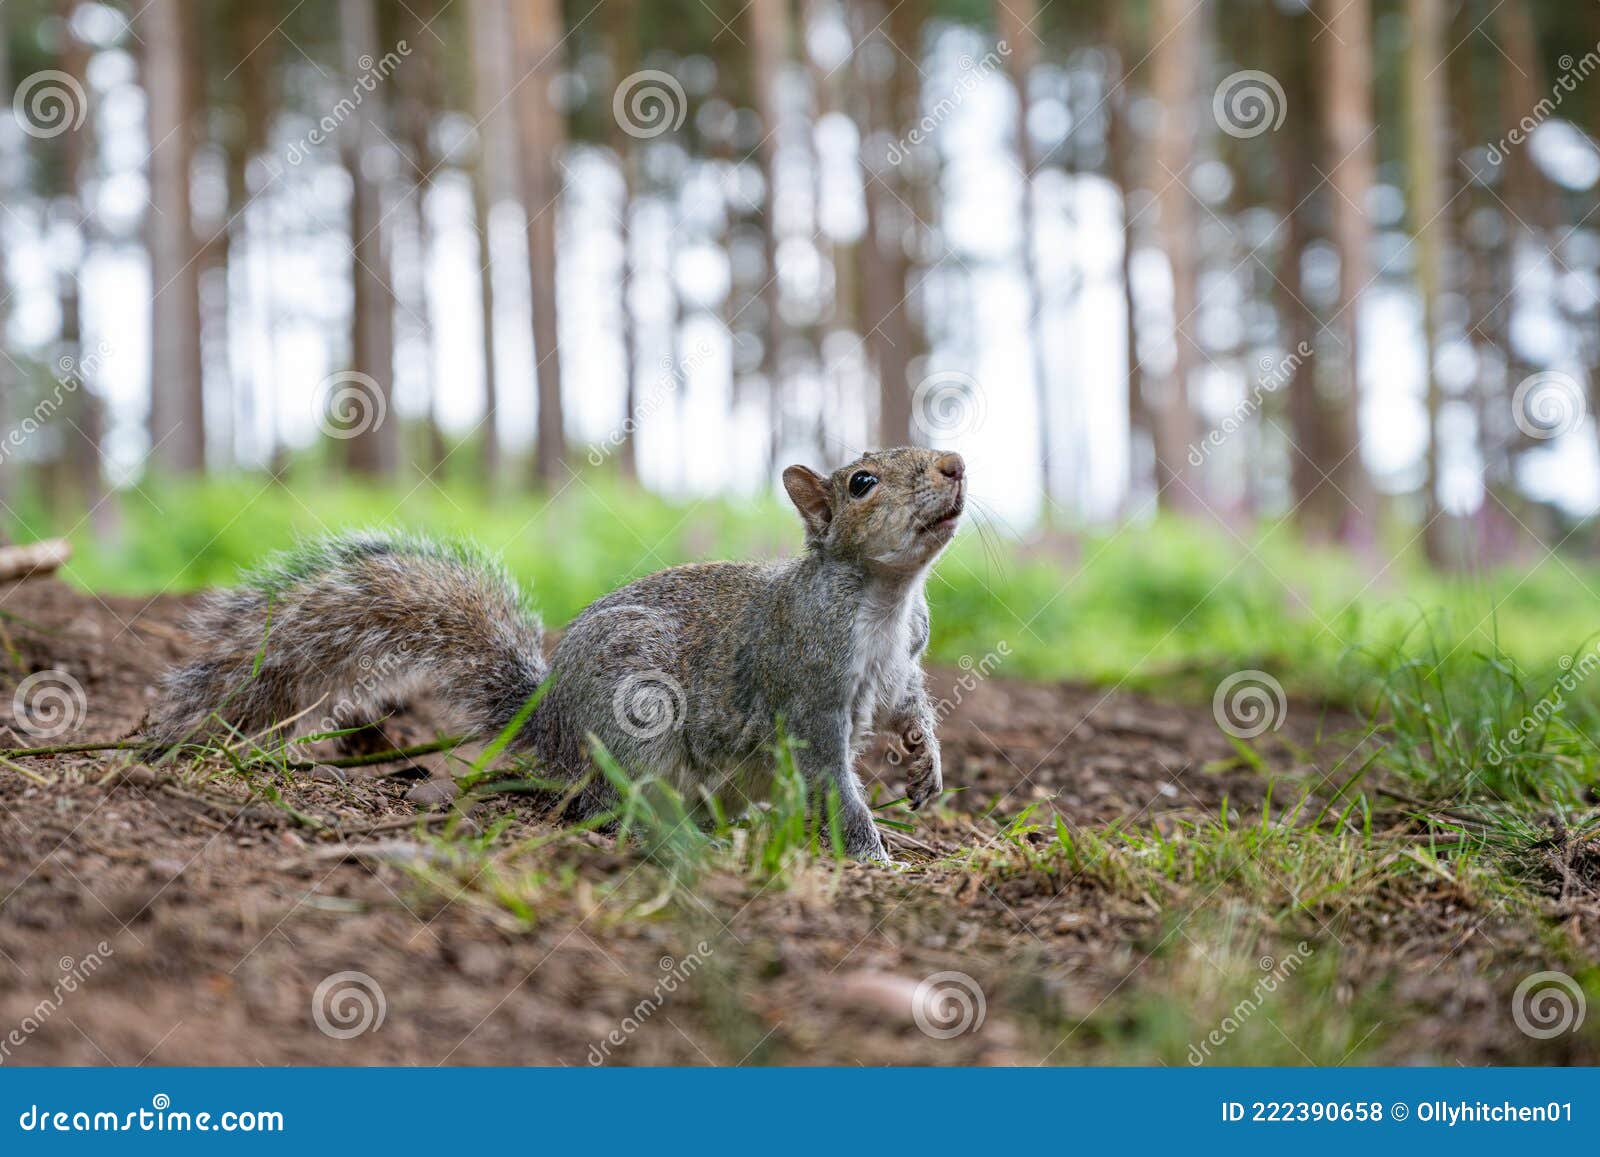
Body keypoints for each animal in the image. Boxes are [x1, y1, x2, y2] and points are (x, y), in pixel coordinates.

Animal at [146, 446, 967, 861]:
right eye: (862, 482)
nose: (956, 462)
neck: (888, 596)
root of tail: (551, 723)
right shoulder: (807, 689)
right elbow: (834, 778)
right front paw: (874, 855)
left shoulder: (902, 660)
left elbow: (909, 704)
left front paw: (925, 764)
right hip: (637, 714)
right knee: (606, 803)